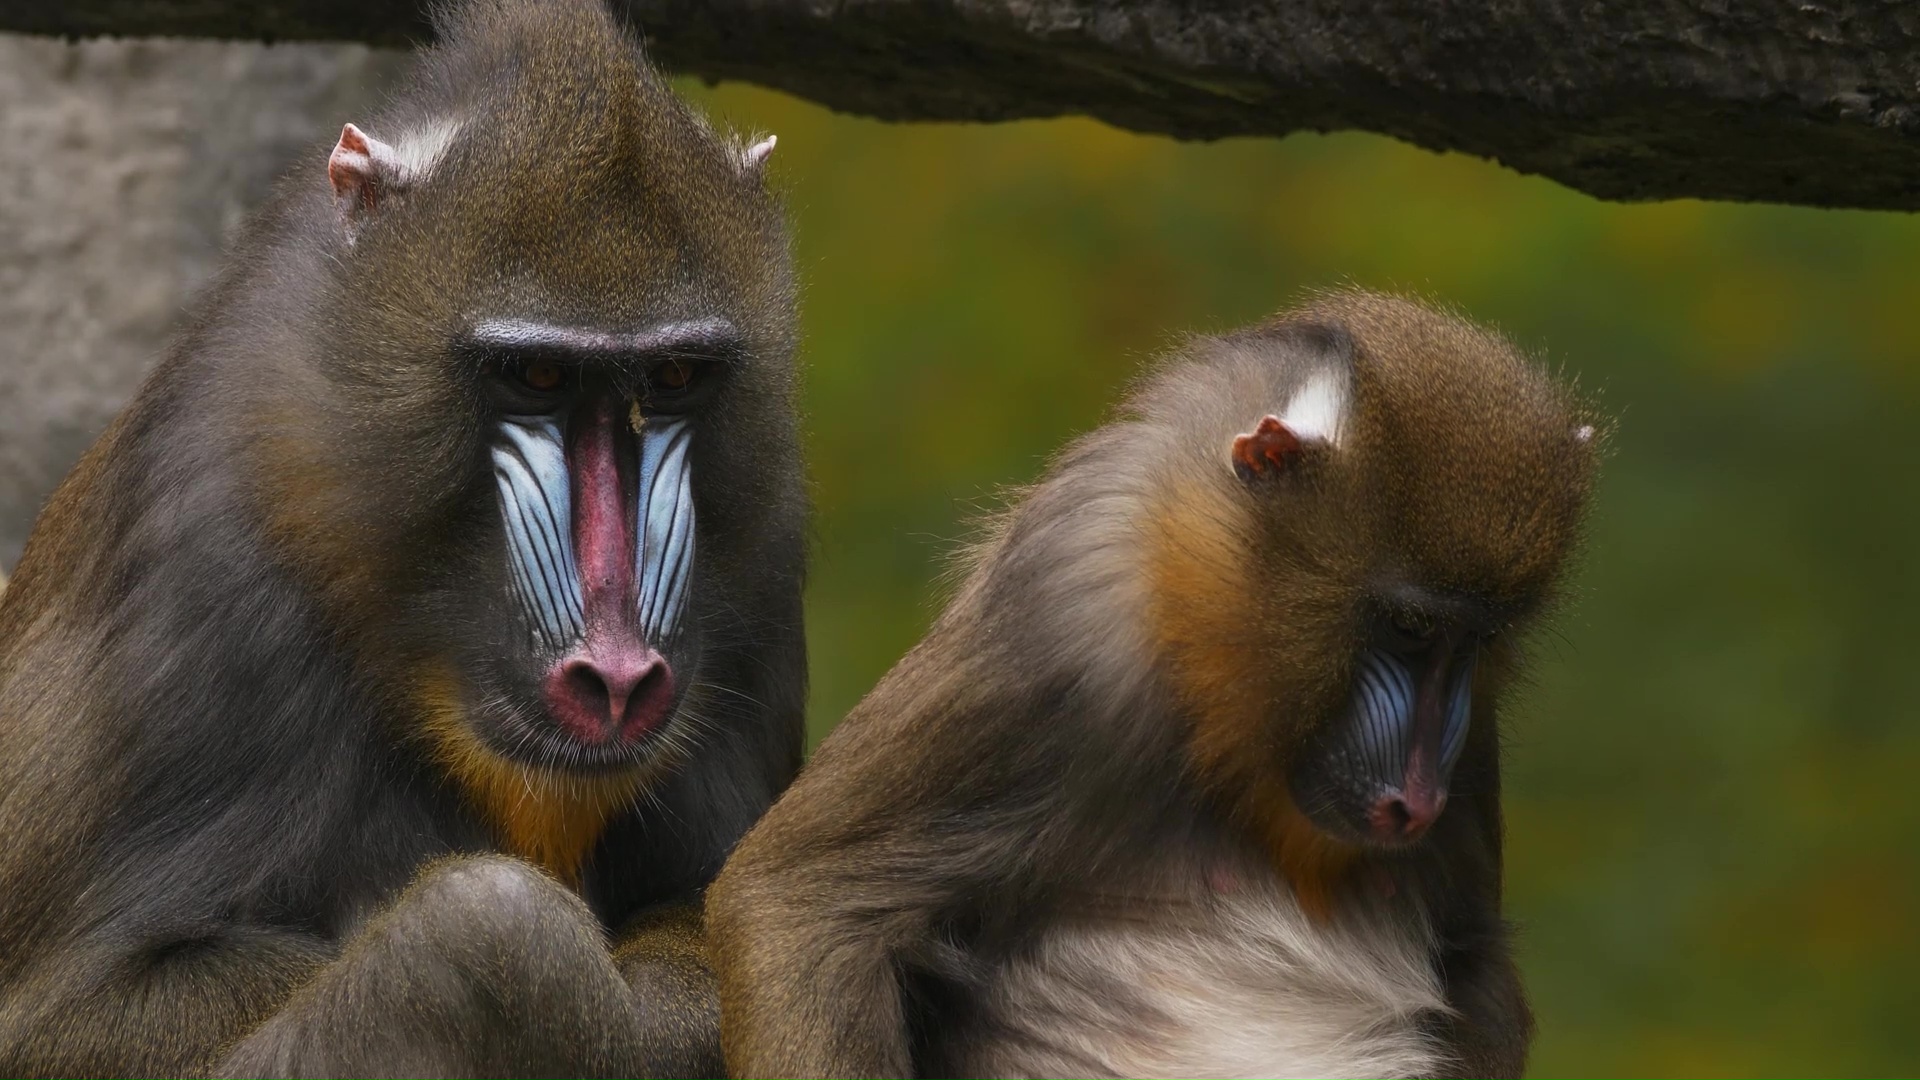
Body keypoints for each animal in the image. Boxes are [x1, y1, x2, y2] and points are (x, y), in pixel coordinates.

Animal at [706, 288, 1600, 1080]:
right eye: (1409, 627)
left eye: (1479, 640)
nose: (1418, 799)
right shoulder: (1056, 634)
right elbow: (805, 902)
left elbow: (1472, 960)